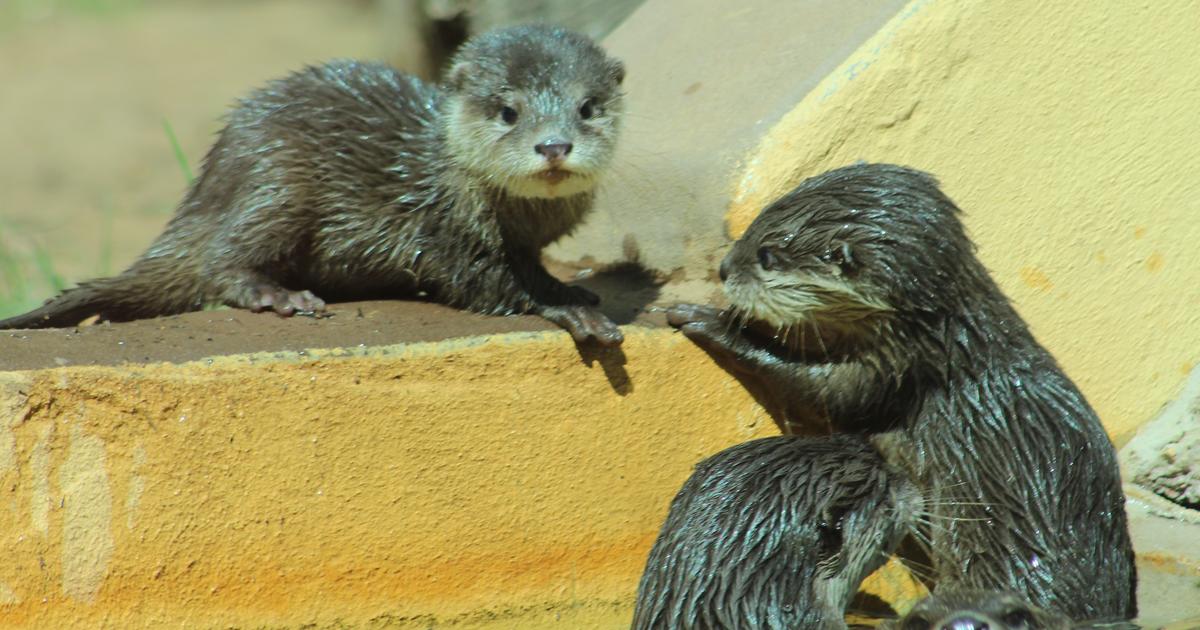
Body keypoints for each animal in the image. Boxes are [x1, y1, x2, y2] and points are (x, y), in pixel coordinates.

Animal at [1, 25, 625, 345]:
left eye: (587, 107)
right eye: (507, 111)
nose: (553, 146)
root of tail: (209, 182)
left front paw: (576, 289)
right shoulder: (443, 227)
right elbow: (489, 281)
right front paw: (570, 307)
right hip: (277, 181)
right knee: (220, 261)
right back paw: (280, 295)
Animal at [666, 163, 1136, 620]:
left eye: (766, 255)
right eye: (752, 224)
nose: (724, 268)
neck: (945, 340)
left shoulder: (896, 372)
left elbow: (816, 390)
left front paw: (713, 322)